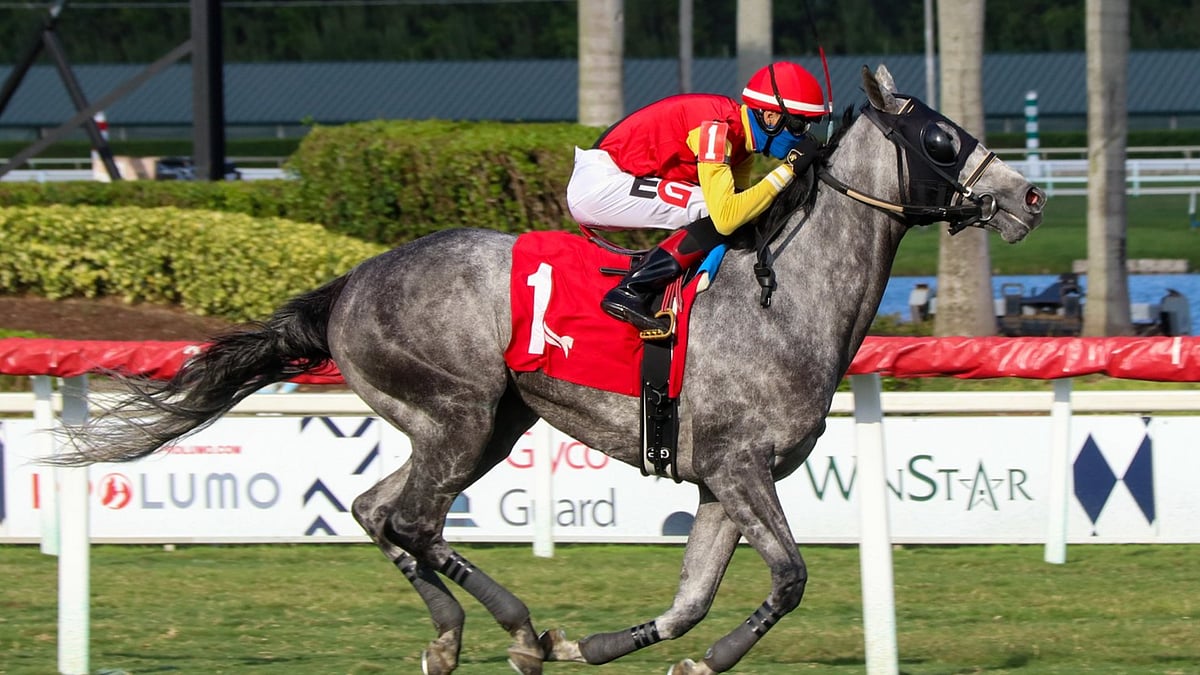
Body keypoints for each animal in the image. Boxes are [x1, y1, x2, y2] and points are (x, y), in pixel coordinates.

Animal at [56, 65, 1045, 674]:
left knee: (376, 510)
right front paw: (655, 653)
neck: (785, 297)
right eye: (944, 139)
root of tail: (350, 283)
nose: (1031, 195)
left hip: (491, 422)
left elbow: (692, 599)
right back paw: (519, 629)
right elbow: (790, 577)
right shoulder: (739, 467)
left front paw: (611, 648)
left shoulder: (720, 480)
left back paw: (456, 637)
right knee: (413, 520)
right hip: (459, 413)